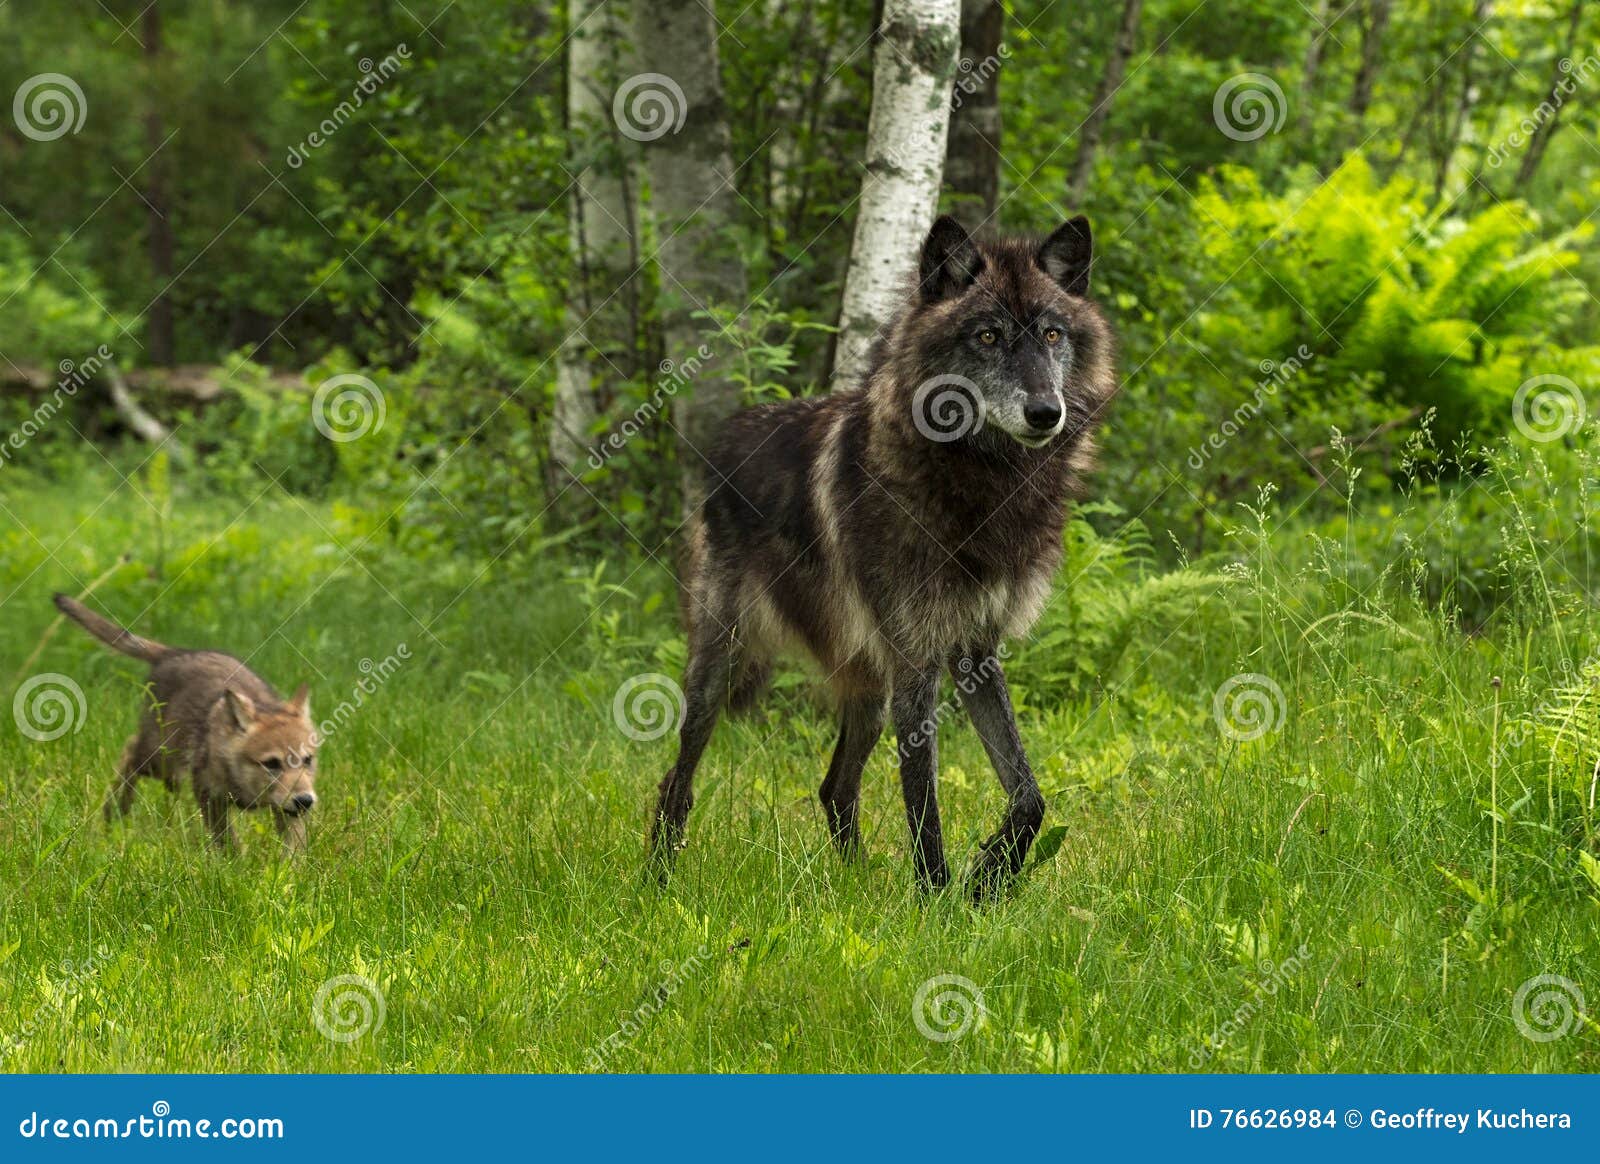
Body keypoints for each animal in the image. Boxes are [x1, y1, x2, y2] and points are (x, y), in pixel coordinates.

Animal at [54, 595, 319, 853]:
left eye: (307, 760)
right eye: (271, 763)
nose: (305, 800)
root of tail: (173, 653)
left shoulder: (288, 811)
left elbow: (292, 849)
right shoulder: (209, 794)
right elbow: (228, 842)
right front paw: (235, 864)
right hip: (159, 758)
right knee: (129, 753)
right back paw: (115, 815)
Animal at [649, 214, 1117, 899]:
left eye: (1053, 334)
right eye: (987, 335)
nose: (1045, 413)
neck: (981, 482)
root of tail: (724, 439)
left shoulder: (974, 651)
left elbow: (1030, 796)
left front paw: (986, 879)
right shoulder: (917, 662)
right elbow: (923, 804)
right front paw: (937, 899)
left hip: (868, 690)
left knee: (835, 787)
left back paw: (855, 885)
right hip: (721, 667)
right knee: (677, 783)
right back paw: (657, 883)